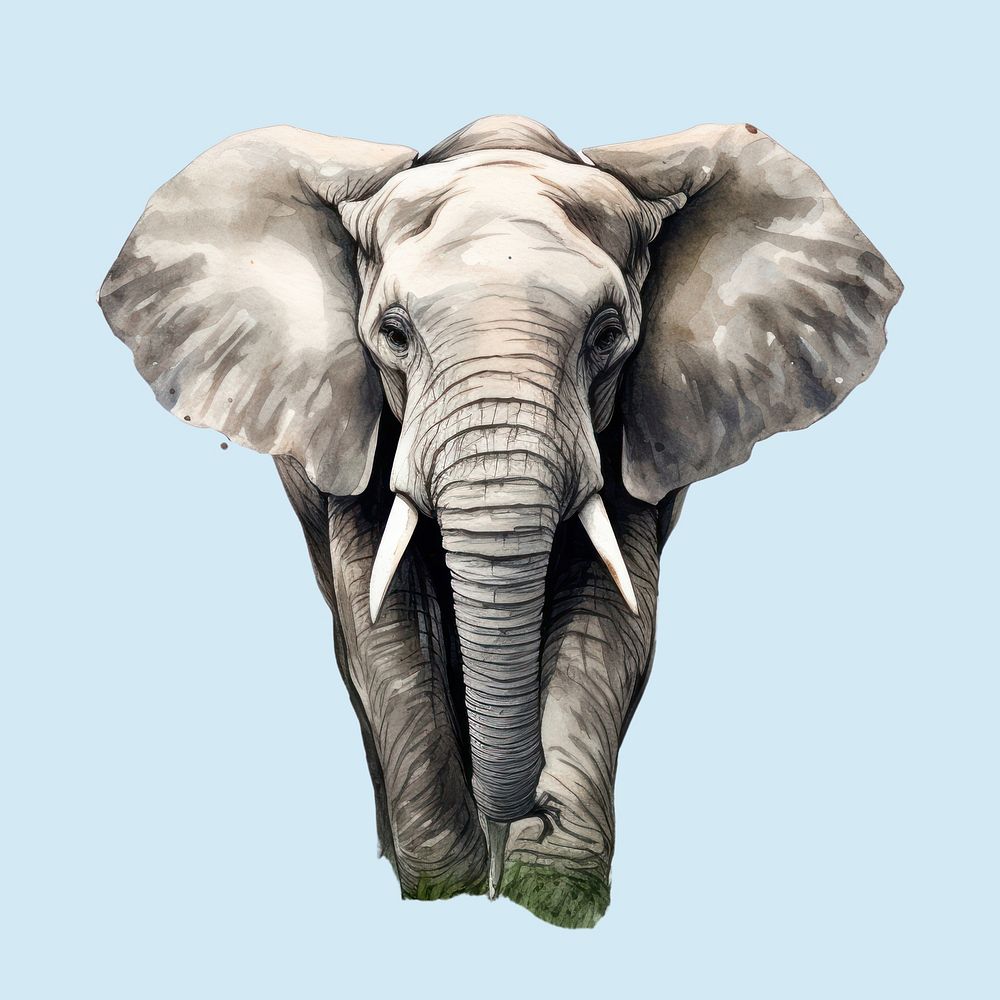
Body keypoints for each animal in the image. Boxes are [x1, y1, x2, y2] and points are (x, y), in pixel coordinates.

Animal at [99, 115, 901, 928]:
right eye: (394, 333)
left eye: (607, 335)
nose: (531, 813)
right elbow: (386, 619)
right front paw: (441, 888)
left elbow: (608, 607)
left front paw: (551, 896)